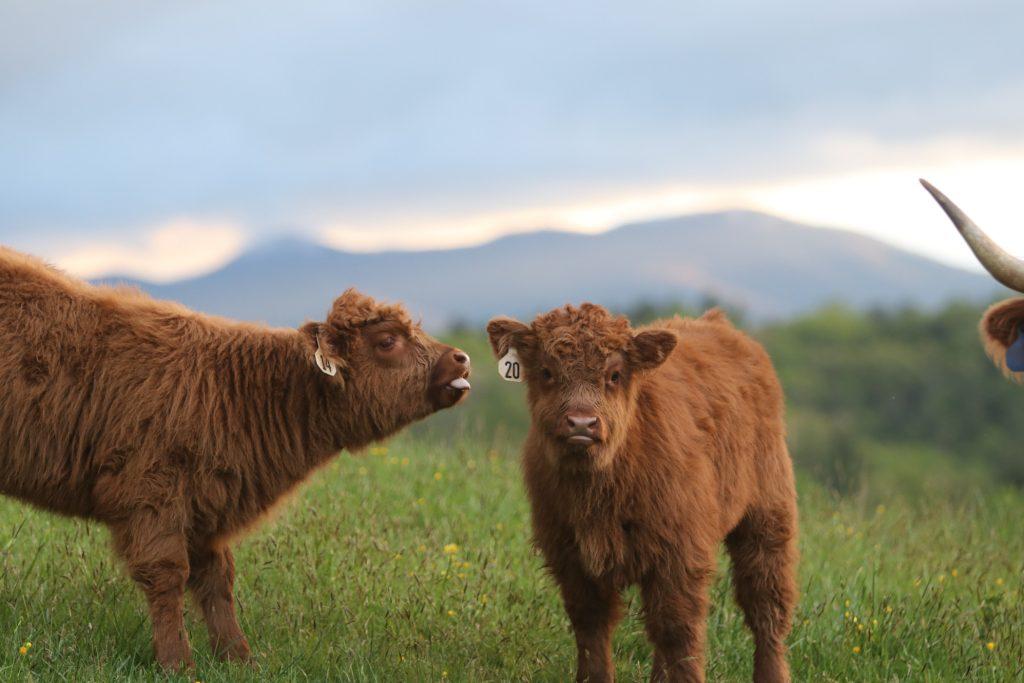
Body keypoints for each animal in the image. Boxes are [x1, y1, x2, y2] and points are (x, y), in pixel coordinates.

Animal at [0, 246, 471, 669]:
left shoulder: (208, 509)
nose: (460, 357)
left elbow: (217, 582)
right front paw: (177, 663)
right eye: (387, 340)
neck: (235, 391)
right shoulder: (153, 499)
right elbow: (168, 577)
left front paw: (238, 657)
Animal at [487, 303, 798, 683]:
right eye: (546, 372)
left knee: (767, 605)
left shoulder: (680, 554)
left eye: (614, 374)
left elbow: (679, 632)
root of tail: (717, 323)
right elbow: (591, 626)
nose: (581, 423)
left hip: (768, 517)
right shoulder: (569, 555)